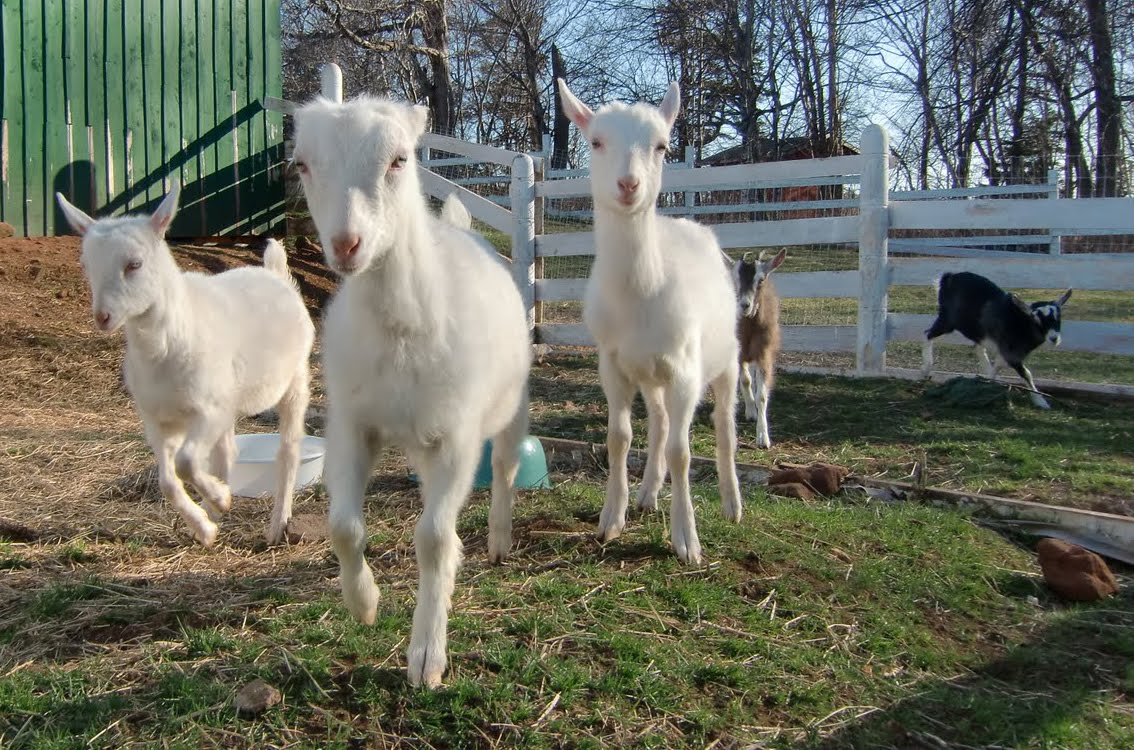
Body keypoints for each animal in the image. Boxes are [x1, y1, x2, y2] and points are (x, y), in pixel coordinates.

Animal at [56, 185, 314, 545]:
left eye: (134, 264)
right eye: (86, 264)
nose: (102, 317)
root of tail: (274, 272)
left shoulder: (207, 410)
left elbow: (186, 462)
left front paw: (218, 499)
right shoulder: (159, 418)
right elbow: (168, 479)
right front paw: (205, 524)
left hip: (294, 378)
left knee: (288, 449)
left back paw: (276, 524)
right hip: (227, 398)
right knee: (227, 450)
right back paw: (215, 505)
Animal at [292, 95, 531, 688]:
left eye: (400, 159)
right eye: (302, 164)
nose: (346, 244)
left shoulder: (457, 439)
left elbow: (434, 539)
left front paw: (427, 656)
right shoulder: (352, 424)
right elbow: (343, 526)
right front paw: (365, 603)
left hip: (511, 405)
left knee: (506, 468)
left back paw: (498, 540)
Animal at [558, 78, 742, 565]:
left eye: (662, 146)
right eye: (596, 141)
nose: (628, 184)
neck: (640, 294)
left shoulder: (685, 370)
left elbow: (683, 451)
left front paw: (687, 541)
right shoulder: (612, 363)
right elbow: (619, 438)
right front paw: (611, 520)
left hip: (728, 360)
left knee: (724, 427)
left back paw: (732, 503)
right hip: (649, 372)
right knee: (658, 421)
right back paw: (647, 494)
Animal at [734, 249, 785, 447]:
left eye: (761, 280)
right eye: (735, 278)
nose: (744, 305)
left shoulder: (764, 353)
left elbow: (762, 394)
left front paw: (763, 437)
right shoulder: (738, 352)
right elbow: (745, 380)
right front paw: (750, 412)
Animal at [922, 270, 1071, 409]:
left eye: (1058, 316)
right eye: (1036, 318)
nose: (1054, 338)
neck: (1021, 323)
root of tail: (949, 277)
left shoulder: (1005, 351)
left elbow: (998, 365)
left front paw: (988, 383)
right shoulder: (1011, 354)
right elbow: (1027, 374)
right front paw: (1041, 402)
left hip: (976, 330)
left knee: (978, 348)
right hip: (947, 321)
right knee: (927, 334)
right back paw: (926, 368)